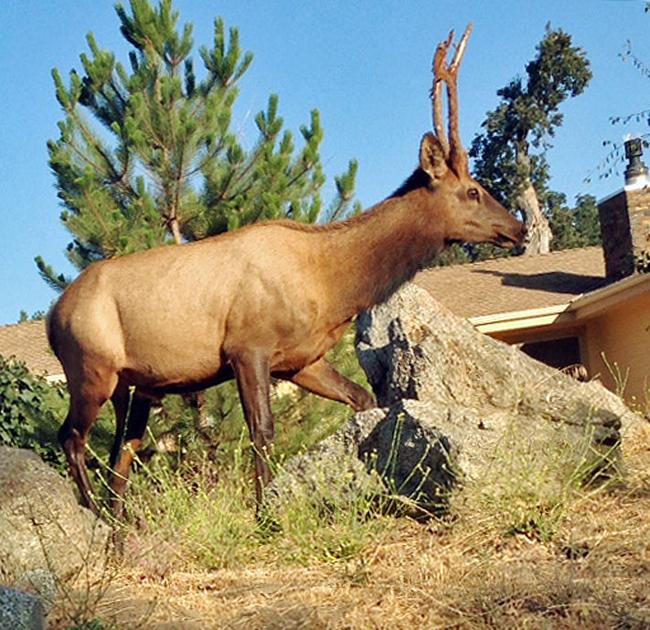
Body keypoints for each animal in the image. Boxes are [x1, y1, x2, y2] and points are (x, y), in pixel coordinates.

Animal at [47, 24, 526, 517]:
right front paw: (264, 510)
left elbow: (363, 400)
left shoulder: (301, 360)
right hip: (90, 366)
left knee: (122, 448)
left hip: (137, 383)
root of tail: (52, 316)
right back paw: (95, 513)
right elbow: (262, 431)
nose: (519, 227)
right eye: (473, 191)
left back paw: (125, 525)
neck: (331, 285)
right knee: (71, 437)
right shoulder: (247, 346)